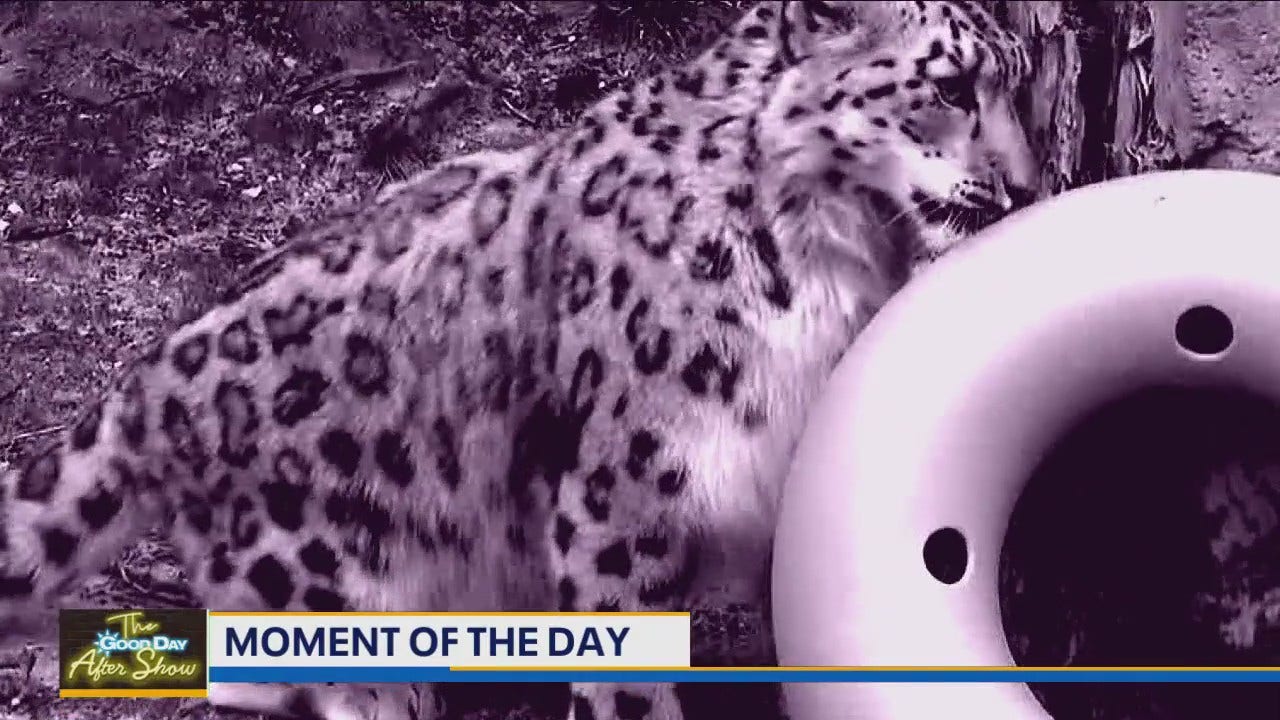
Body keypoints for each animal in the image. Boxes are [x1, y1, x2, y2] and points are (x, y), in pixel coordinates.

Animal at [0, 1, 1037, 719]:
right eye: (951, 86)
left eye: (1022, 84)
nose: (1026, 187)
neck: (835, 259)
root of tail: (144, 385)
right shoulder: (626, 499)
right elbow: (629, 679)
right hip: (319, 597)